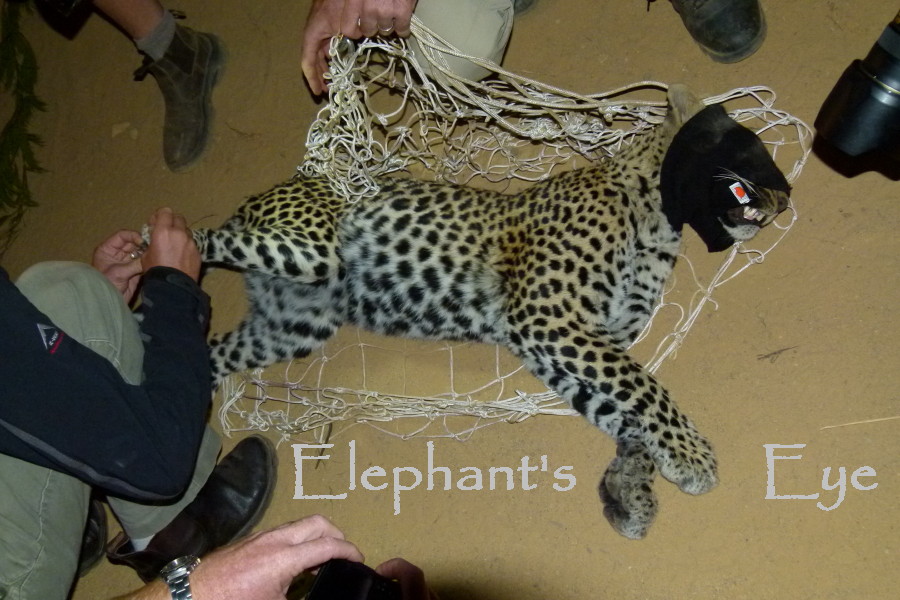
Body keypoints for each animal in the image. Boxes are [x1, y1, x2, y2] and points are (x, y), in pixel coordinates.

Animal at [187, 85, 790, 539]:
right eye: (752, 154)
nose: (785, 200)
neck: (659, 218)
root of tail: (269, 191)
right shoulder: (548, 319)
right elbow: (644, 388)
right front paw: (693, 455)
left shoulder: (555, 343)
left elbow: (619, 409)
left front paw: (633, 486)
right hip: (311, 250)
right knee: (211, 238)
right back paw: (166, 242)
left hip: (294, 324)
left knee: (213, 351)